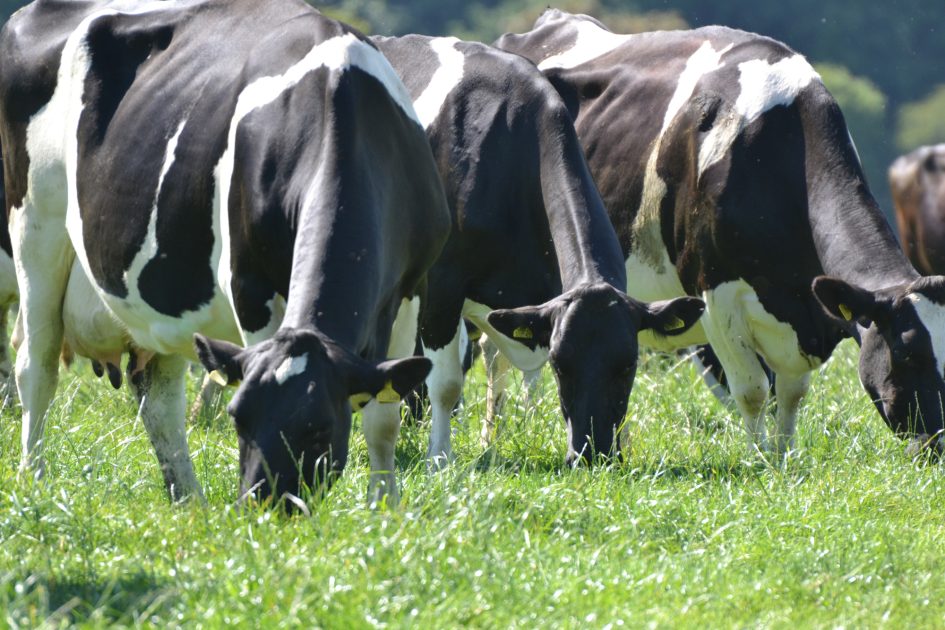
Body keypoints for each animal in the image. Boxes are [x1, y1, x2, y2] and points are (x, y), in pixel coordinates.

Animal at [0, 0, 450, 505]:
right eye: (238, 416)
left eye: (317, 428)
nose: (262, 505)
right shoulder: (250, 287)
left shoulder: (413, 287)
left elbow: (383, 418)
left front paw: (384, 507)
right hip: (35, 230)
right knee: (36, 365)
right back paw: (33, 479)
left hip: (166, 292)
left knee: (158, 394)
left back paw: (189, 499)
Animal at [371, 34, 705, 466]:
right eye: (561, 366)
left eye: (628, 365)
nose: (592, 454)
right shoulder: (444, 286)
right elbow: (445, 383)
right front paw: (439, 460)